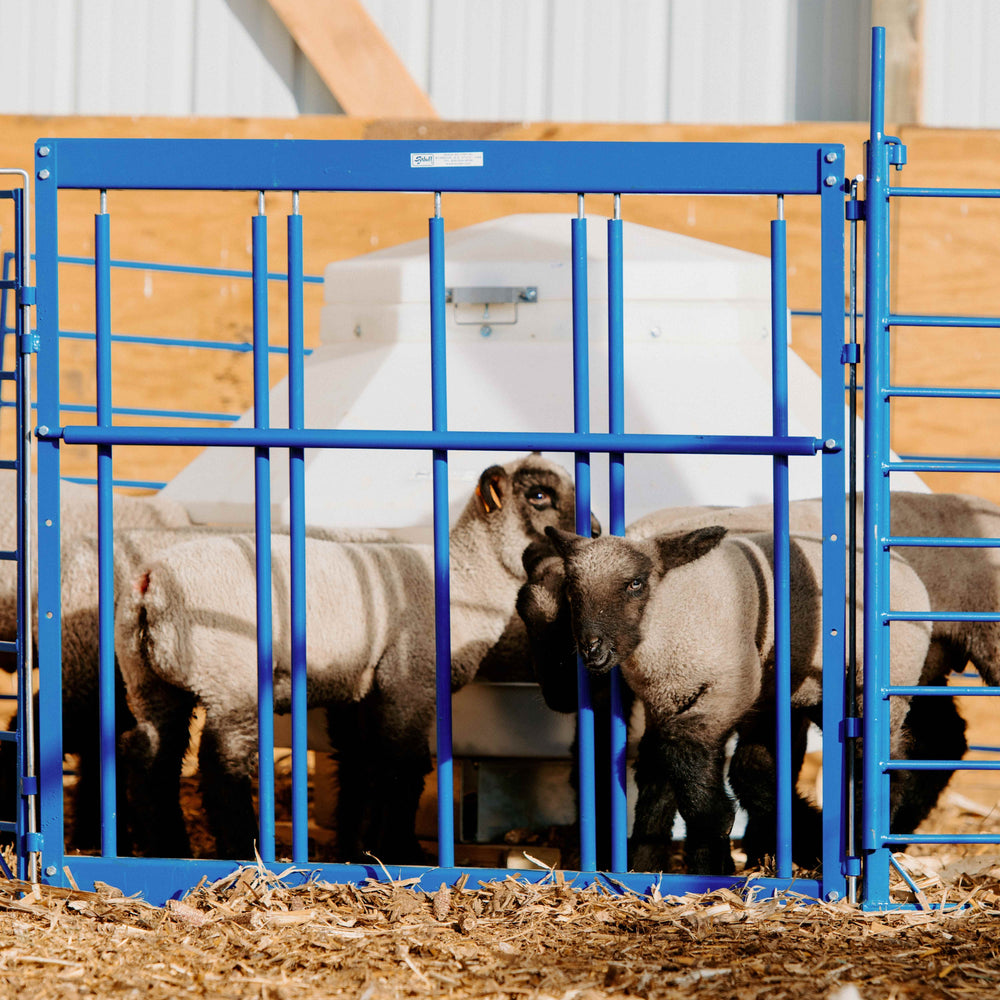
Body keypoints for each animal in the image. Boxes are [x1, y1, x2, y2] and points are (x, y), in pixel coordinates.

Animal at [113, 454, 594, 861]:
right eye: (540, 496)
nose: (594, 531)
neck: (466, 581)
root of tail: (151, 584)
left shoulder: (359, 689)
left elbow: (360, 765)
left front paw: (356, 845)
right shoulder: (410, 680)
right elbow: (403, 765)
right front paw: (400, 850)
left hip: (149, 680)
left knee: (153, 757)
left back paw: (167, 849)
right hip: (230, 678)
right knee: (221, 765)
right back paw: (242, 849)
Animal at [541, 524, 932, 875]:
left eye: (635, 583)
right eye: (572, 588)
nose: (592, 649)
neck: (670, 614)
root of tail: (906, 568)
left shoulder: (728, 690)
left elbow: (683, 755)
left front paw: (713, 855)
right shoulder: (665, 703)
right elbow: (657, 774)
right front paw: (644, 866)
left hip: (879, 684)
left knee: (883, 762)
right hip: (794, 696)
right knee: (756, 768)